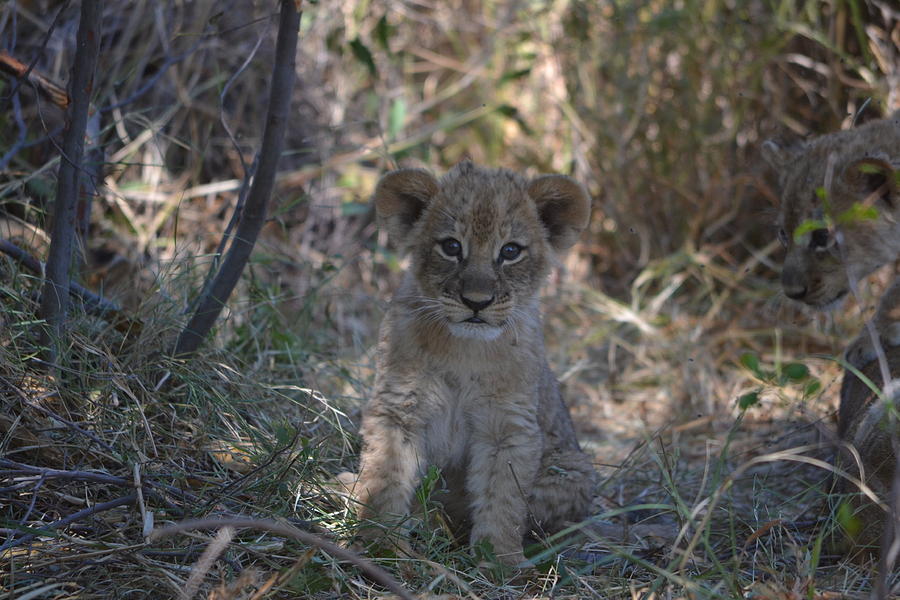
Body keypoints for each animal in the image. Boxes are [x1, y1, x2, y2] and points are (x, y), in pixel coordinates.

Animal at [342, 161, 597, 566]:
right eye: (451, 247)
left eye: (510, 251)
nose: (477, 302)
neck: (463, 349)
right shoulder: (399, 407)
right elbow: (386, 475)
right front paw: (378, 541)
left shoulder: (508, 425)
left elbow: (503, 498)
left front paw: (500, 562)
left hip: (574, 469)